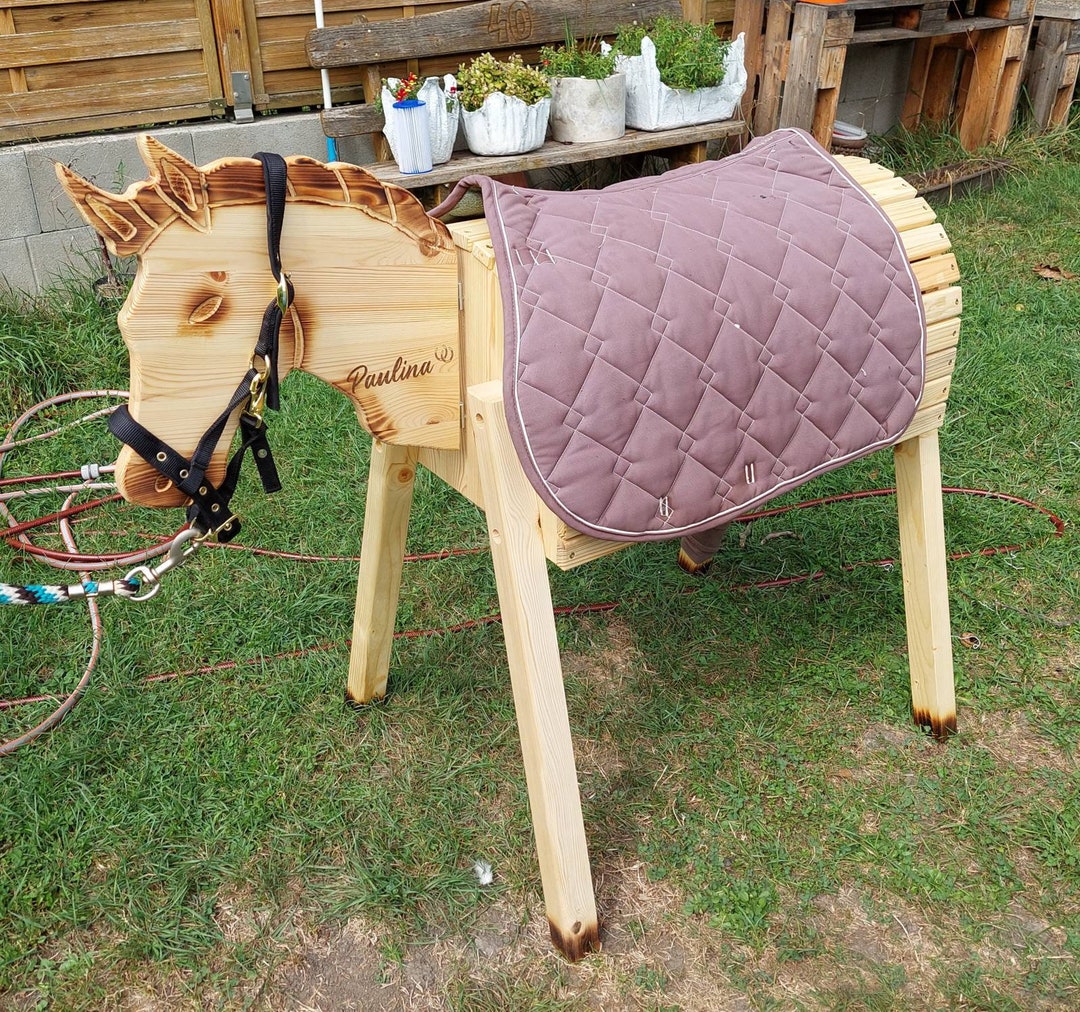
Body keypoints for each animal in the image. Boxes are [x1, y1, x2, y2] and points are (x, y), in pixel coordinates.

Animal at [58, 134, 962, 960]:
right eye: (128, 320)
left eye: (203, 308)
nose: (140, 479)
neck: (444, 323)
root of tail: (877, 176)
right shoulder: (401, 445)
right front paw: (365, 694)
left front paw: (577, 931)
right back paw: (698, 553)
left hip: (921, 429)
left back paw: (937, 715)